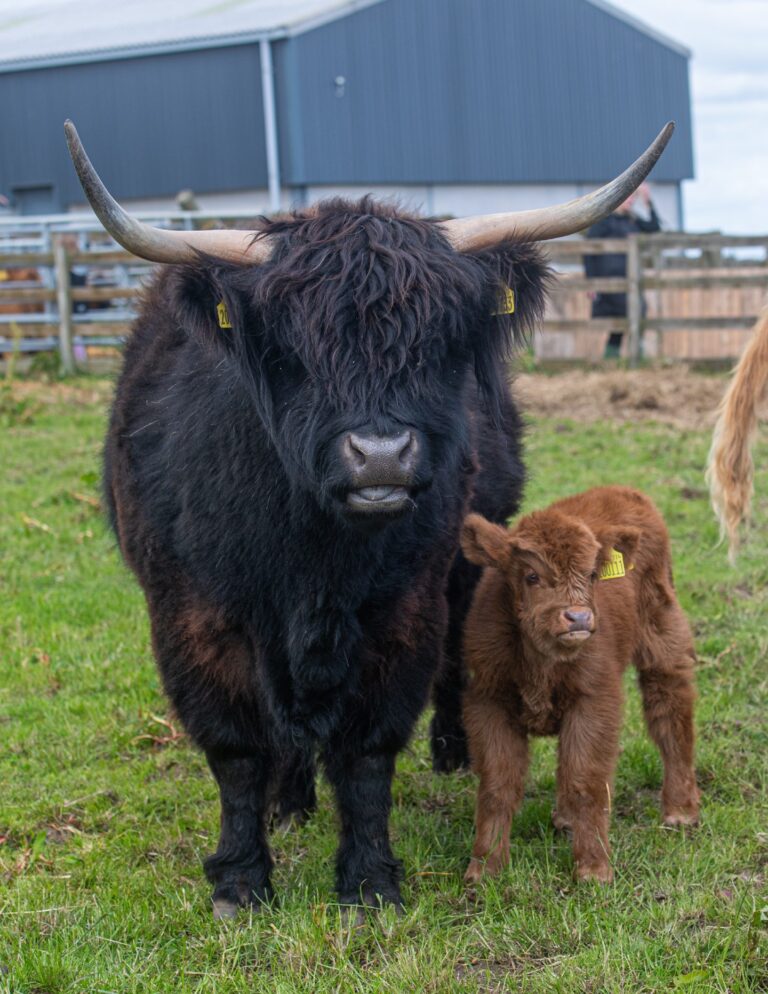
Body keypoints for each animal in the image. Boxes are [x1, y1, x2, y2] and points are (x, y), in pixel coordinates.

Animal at [64, 120, 674, 916]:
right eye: (292, 349)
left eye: (437, 343)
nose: (380, 455)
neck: (314, 559)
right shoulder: (193, 615)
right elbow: (237, 747)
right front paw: (240, 878)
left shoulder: (404, 608)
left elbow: (368, 748)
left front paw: (368, 881)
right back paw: (289, 801)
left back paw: (451, 751)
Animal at [460, 486, 699, 886]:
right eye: (531, 575)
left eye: (592, 575)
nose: (579, 617)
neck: (541, 662)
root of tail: (624, 492)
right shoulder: (488, 702)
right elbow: (497, 784)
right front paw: (485, 868)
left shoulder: (595, 701)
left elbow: (585, 779)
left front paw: (593, 869)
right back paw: (566, 818)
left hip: (662, 635)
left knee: (670, 708)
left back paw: (680, 810)